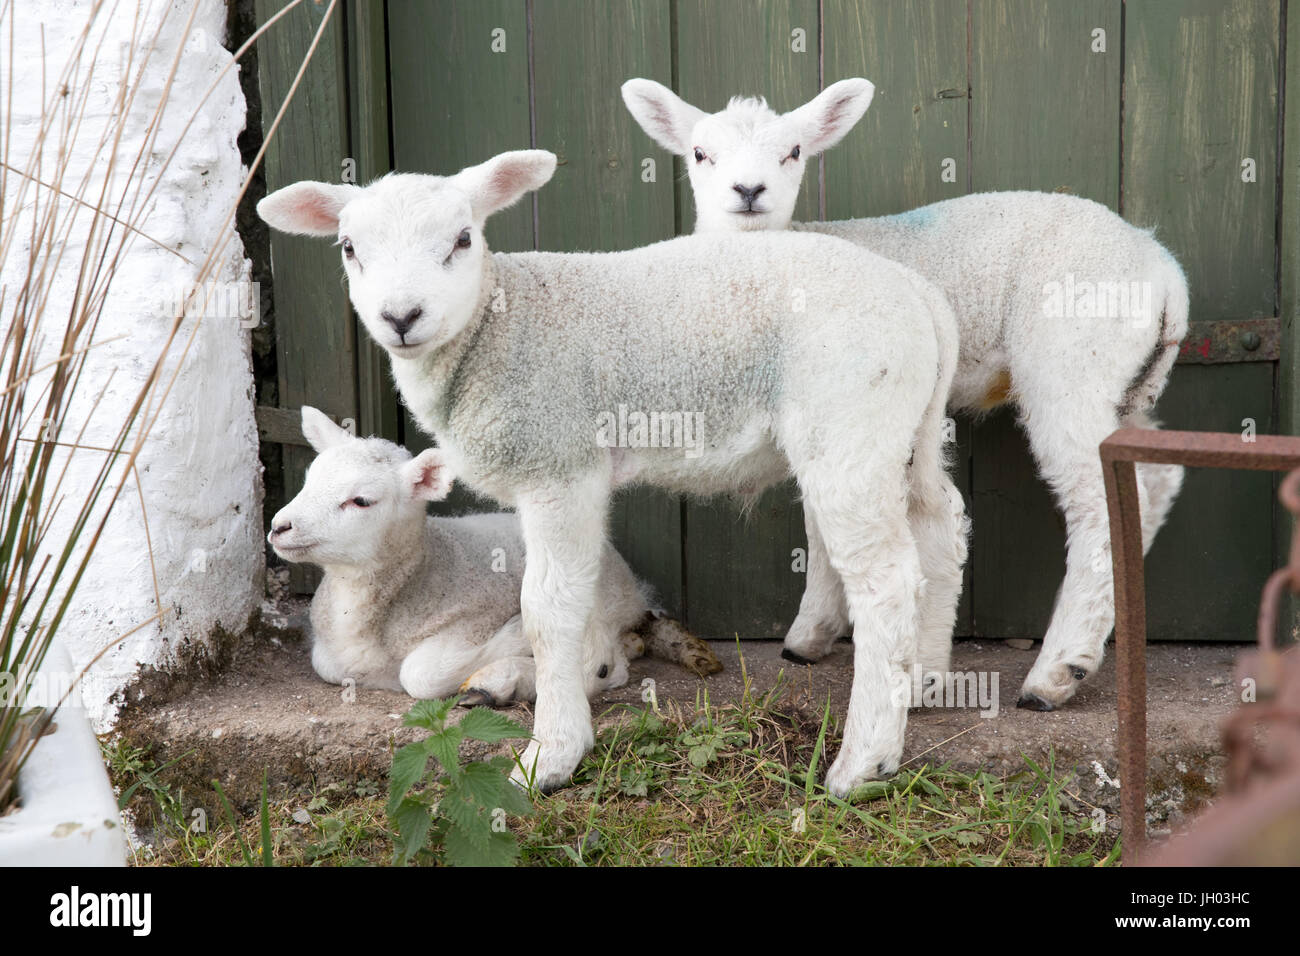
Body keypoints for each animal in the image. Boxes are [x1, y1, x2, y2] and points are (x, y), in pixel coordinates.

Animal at [267, 405, 722, 706]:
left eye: (361, 501)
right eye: (309, 480)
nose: (278, 527)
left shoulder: (468, 621)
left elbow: (420, 675)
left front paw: (509, 642)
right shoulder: (331, 656)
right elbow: (328, 665)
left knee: (605, 658)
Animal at [622, 77, 1189, 711]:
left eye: (794, 151)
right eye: (700, 153)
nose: (748, 190)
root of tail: (1164, 270)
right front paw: (812, 635)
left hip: (1071, 363)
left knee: (1100, 497)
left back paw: (1056, 672)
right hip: (1128, 382)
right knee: (1153, 479)